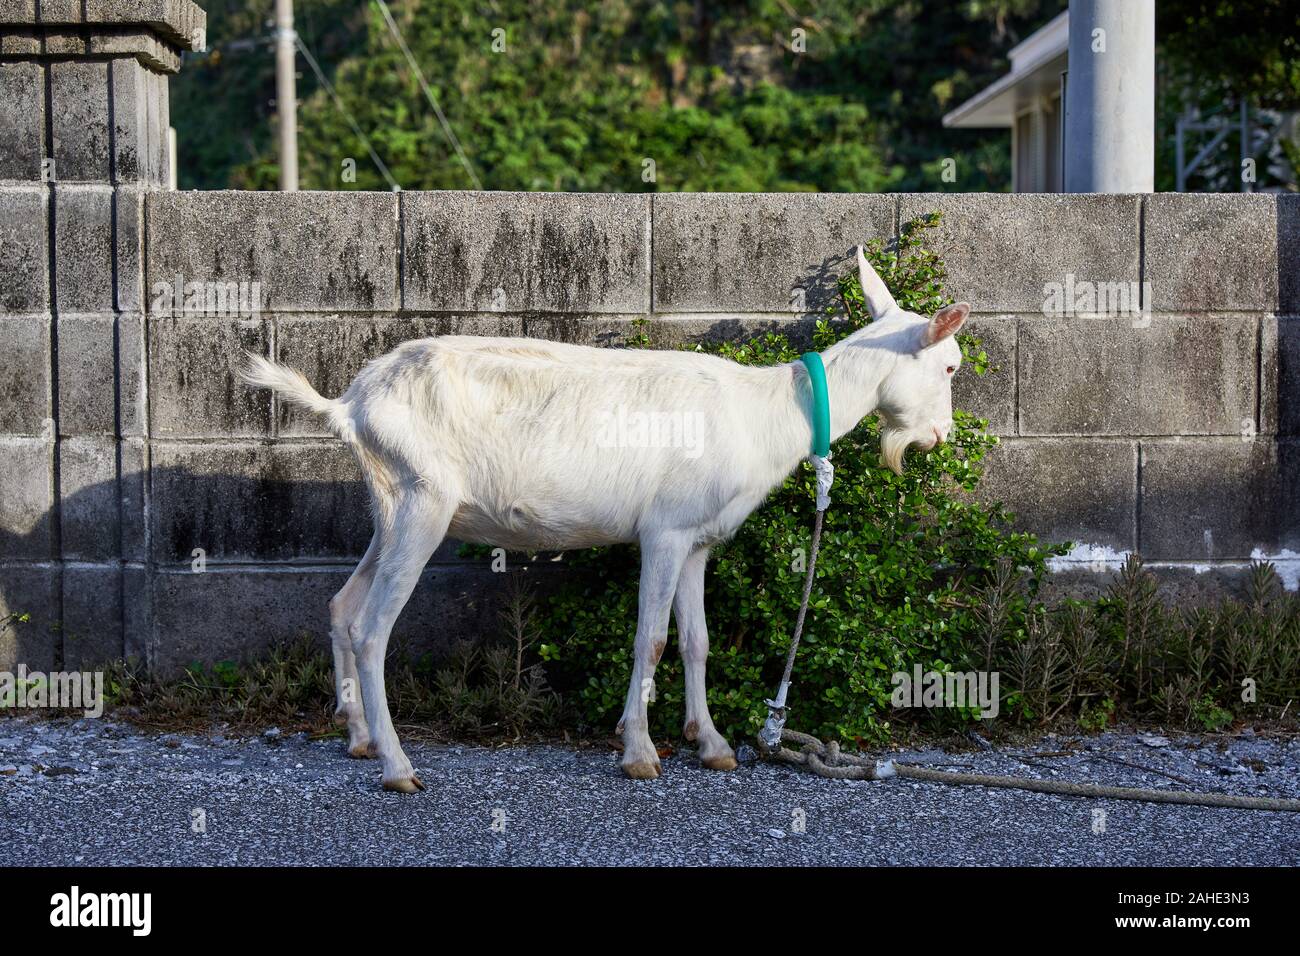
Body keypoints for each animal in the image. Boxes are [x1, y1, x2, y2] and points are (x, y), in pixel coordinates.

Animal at [241, 249, 969, 792]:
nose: (941, 436)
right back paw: (398, 765)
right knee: (372, 629)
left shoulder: (698, 540)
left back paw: (360, 737)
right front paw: (640, 753)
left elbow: (696, 641)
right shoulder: (664, 530)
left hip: (390, 506)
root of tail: (349, 403)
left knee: (342, 604)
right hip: (422, 501)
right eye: (951, 364)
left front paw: (711, 744)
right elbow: (651, 639)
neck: (770, 412)